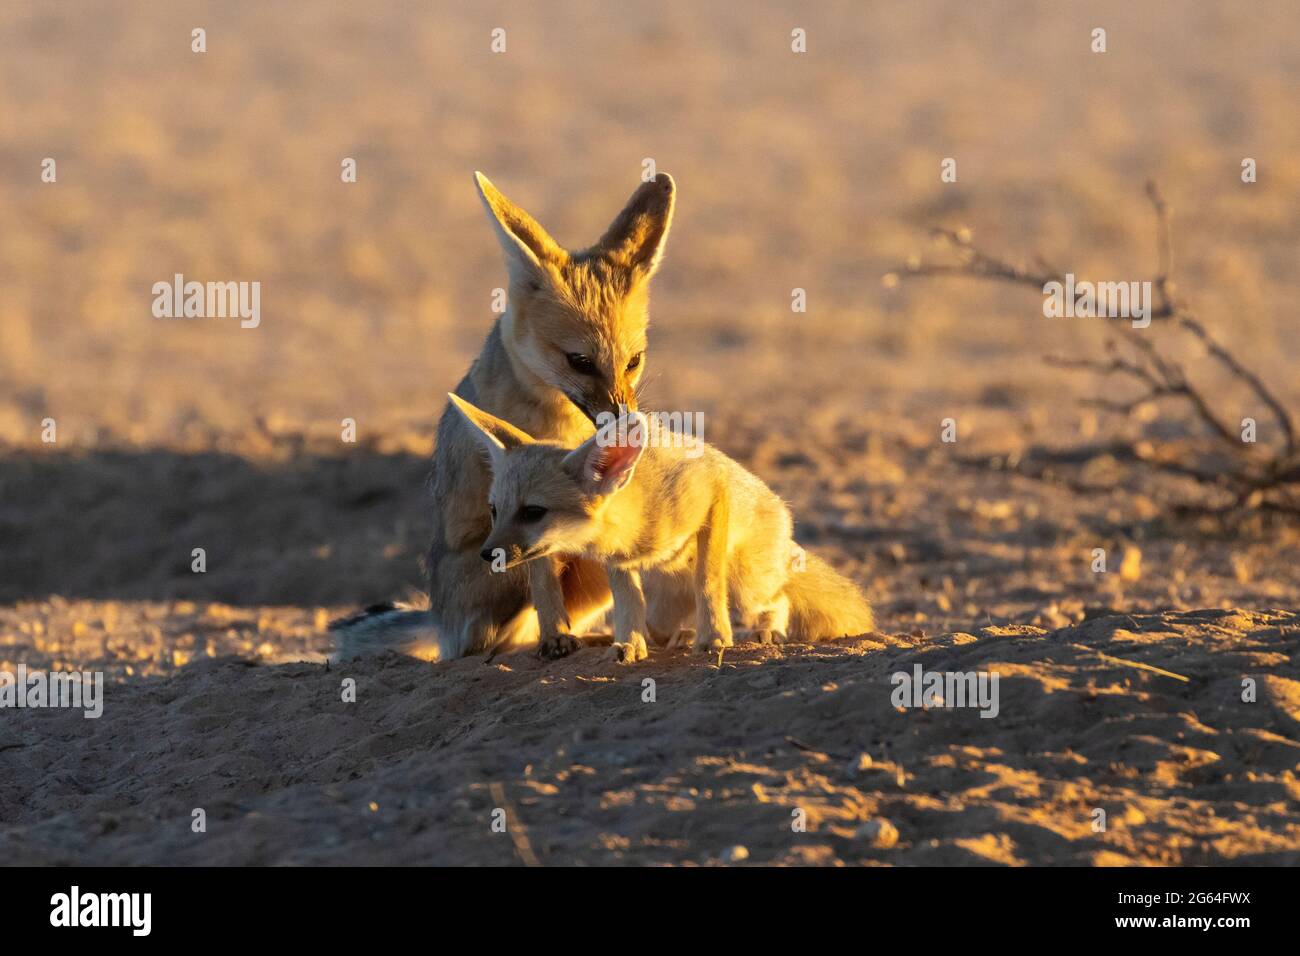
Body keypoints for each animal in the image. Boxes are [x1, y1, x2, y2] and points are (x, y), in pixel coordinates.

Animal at [331, 171, 676, 661]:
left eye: (634, 362)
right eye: (580, 362)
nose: (620, 420)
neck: (557, 417)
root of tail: (438, 616)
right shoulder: (526, 499)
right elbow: (542, 577)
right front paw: (556, 638)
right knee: (485, 644)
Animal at [445, 394, 876, 662]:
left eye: (533, 512)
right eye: (495, 510)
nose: (487, 553)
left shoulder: (712, 492)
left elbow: (708, 580)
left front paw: (714, 638)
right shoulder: (618, 558)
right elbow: (628, 601)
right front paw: (629, 645)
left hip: (749, 586)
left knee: (779, 597)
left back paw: (765, 631)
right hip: (667, 608)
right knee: (663, 625)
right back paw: (672, 638)